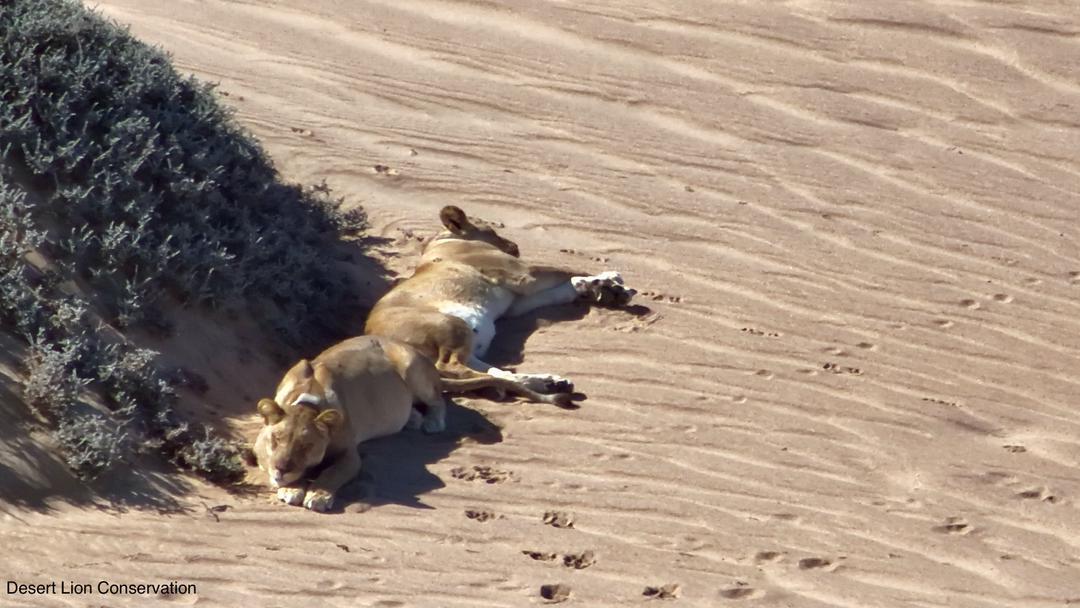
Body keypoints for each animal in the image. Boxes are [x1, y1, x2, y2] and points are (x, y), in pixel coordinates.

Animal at [364, 205, 636, 406]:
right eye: (493, 231)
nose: (516, 247)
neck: (442, 240)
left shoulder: (516, 300)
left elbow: (565, 288)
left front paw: (604, 290)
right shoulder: (524, 274)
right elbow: (570, 270)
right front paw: (611, 281)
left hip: (467, 345)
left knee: (494, 372)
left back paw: (548, 383)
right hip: (450, 324)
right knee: (453, 368)